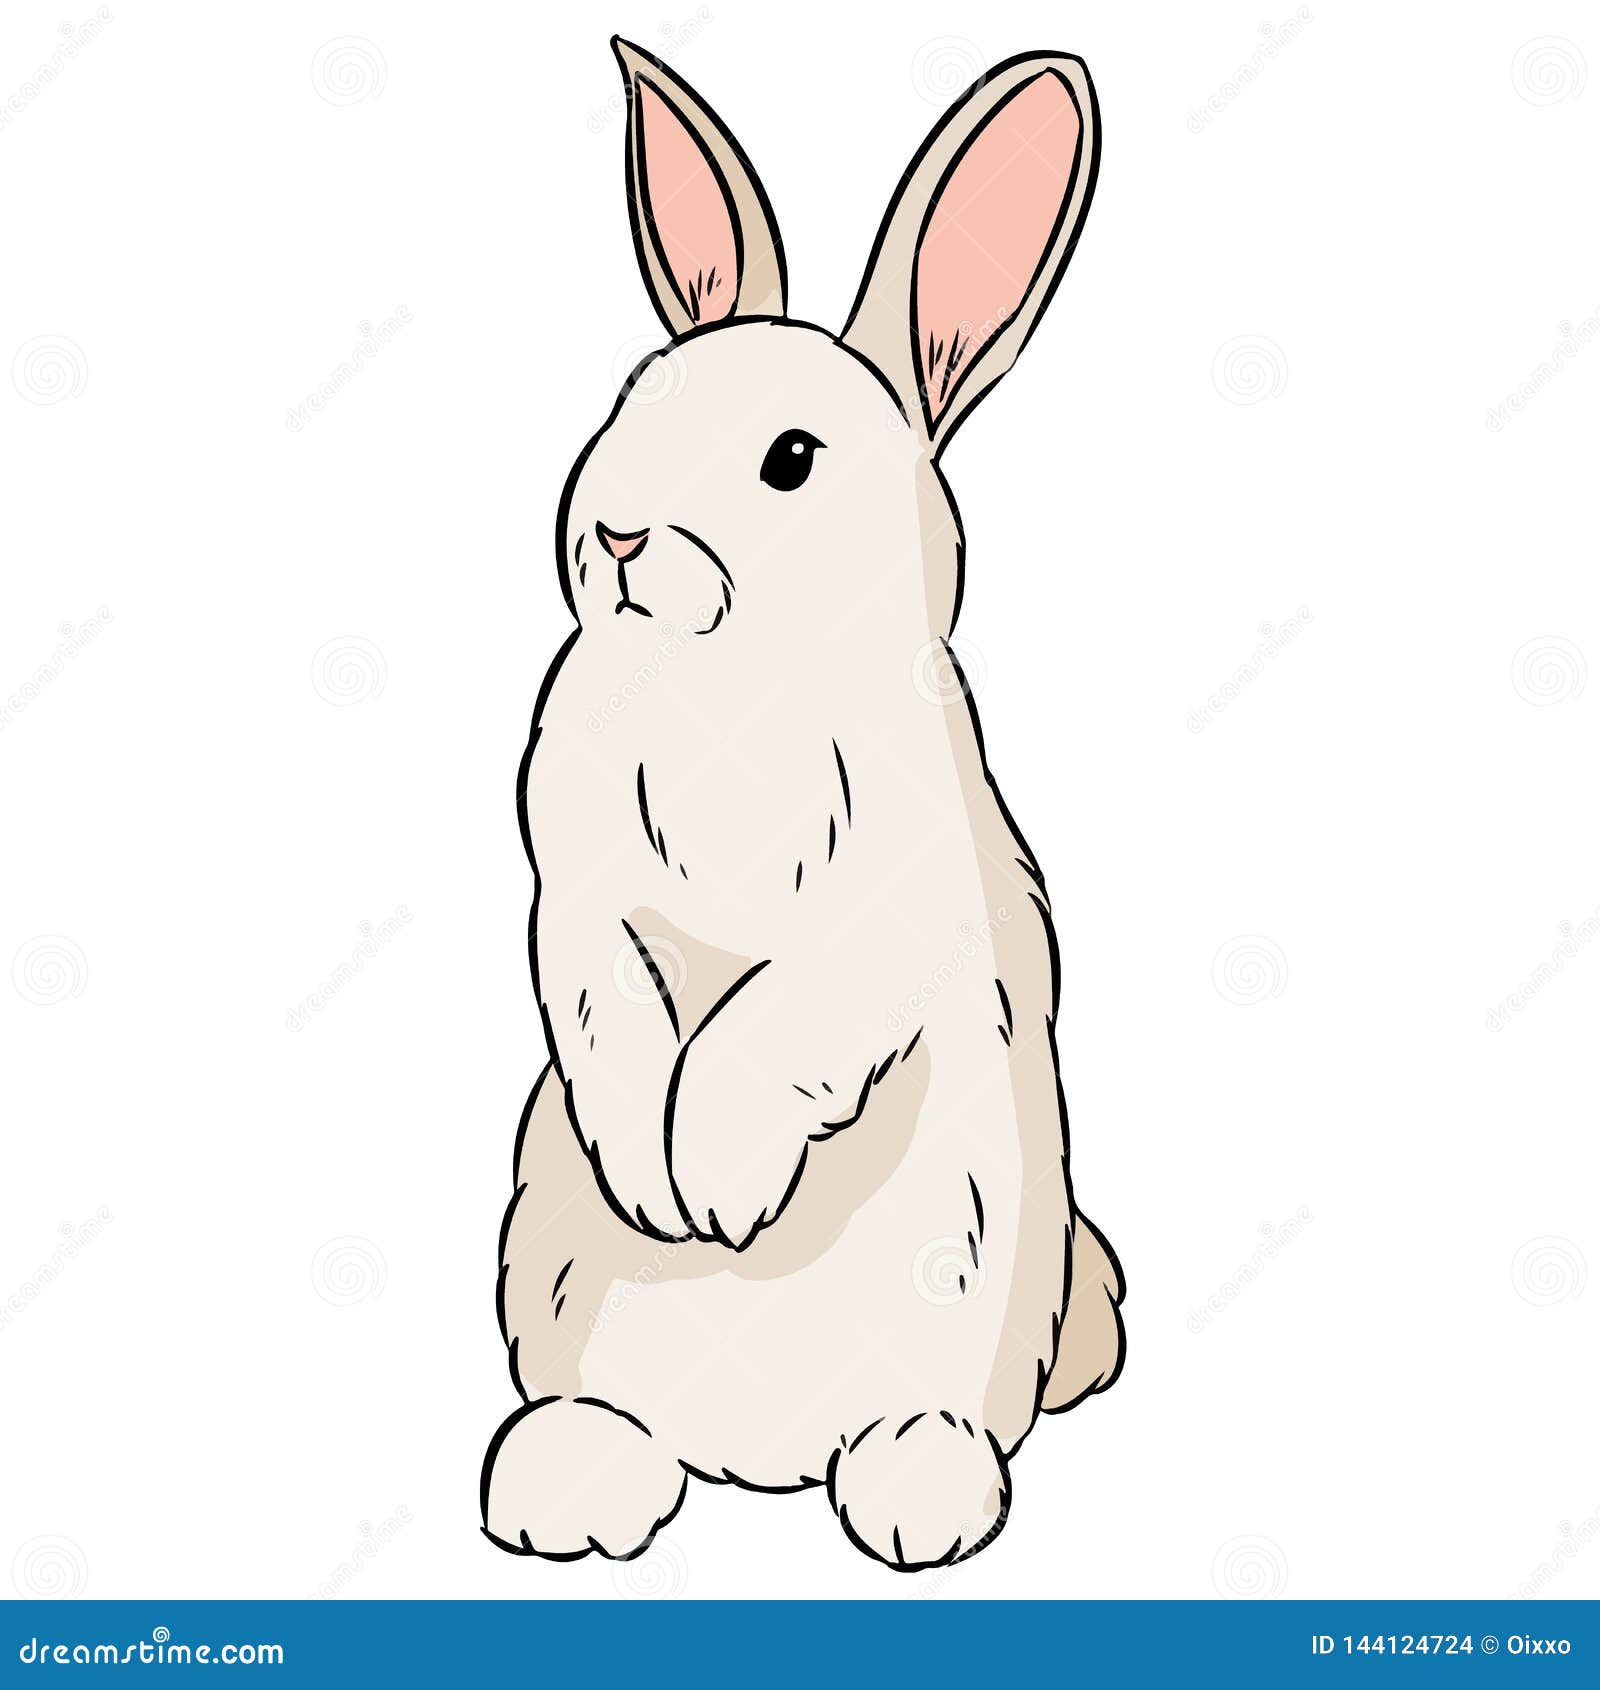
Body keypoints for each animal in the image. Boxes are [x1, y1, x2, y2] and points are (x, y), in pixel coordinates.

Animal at [482, 37, 1126, 1573]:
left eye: (789, 457)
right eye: (630, 401)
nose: (613, 533)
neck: (731, 681)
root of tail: (758, 1465)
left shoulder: (890, 902)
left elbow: (783, 1018)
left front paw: (713, 1184)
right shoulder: (577, 874)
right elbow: (601, 987)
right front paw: (649, 1171)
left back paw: (913, 1492)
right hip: (552, 1262)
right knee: (606, 1408)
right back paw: (570, 1483)